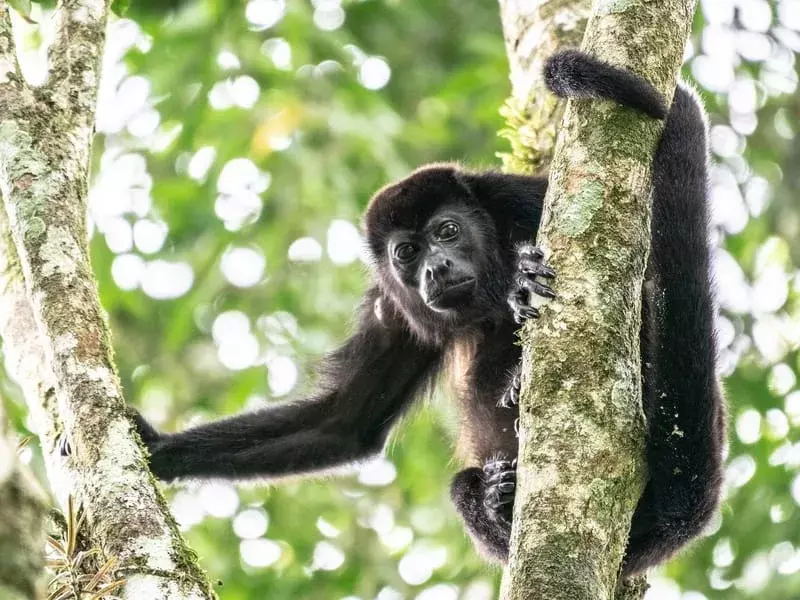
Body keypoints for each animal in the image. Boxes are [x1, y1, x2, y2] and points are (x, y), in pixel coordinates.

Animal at [131, 50, 724, 576]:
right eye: (407, 253)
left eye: (448, 231)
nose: (435, 268)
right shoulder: (394, 307)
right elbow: (346, 421)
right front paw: (158, 449)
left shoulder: (519, 198)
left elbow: (638, 279)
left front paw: (523, 284)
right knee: (460, 487)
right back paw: (496, 497)